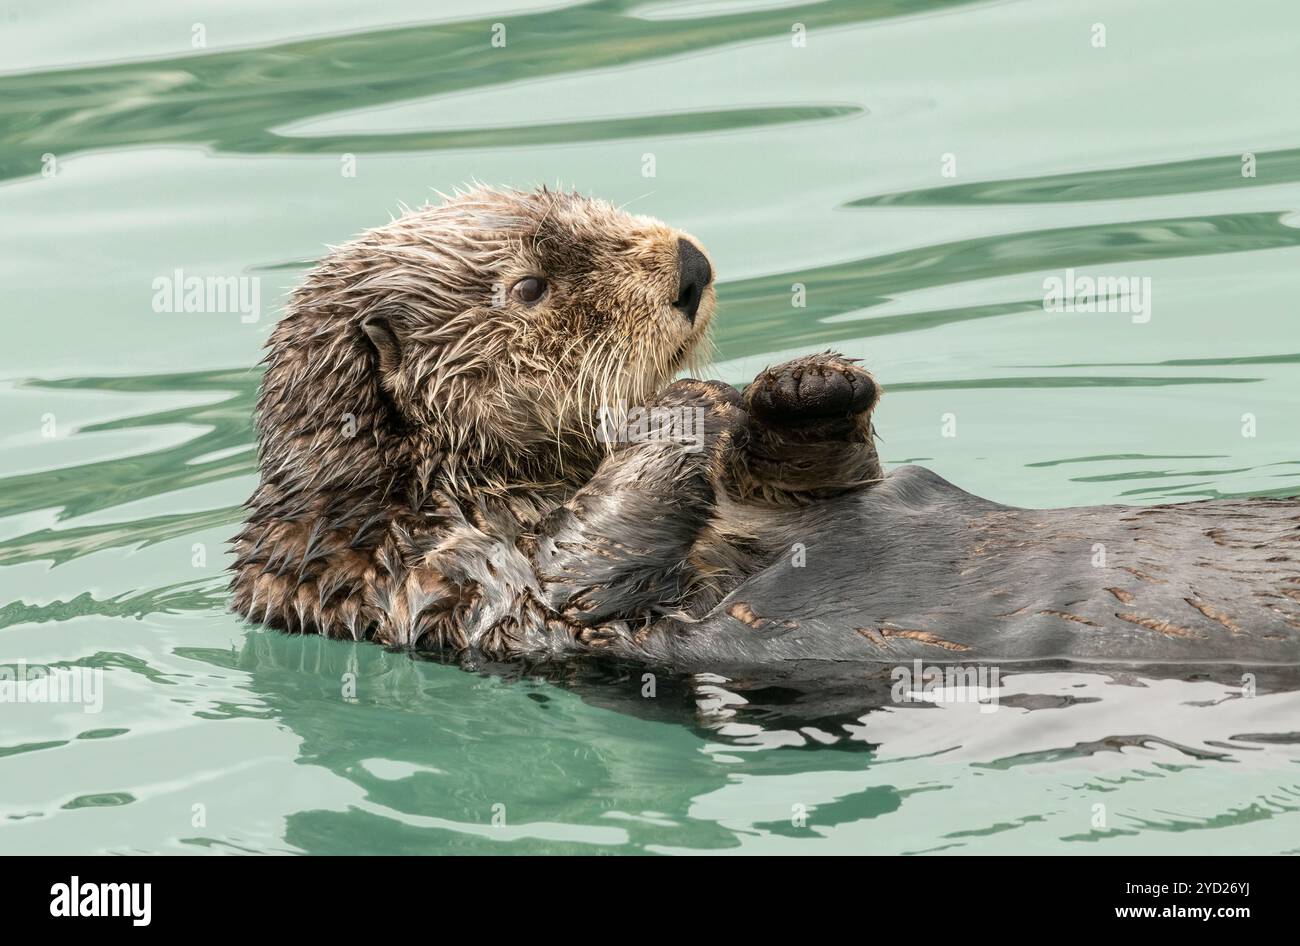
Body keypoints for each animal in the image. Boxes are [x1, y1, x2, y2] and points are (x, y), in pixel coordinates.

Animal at [231, 187, 1300, 670]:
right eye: (528, 288)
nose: (690, 264)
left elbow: (824, 472)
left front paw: (802, 384)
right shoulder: (434, 571)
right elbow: (572, 588)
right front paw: (687, 410)